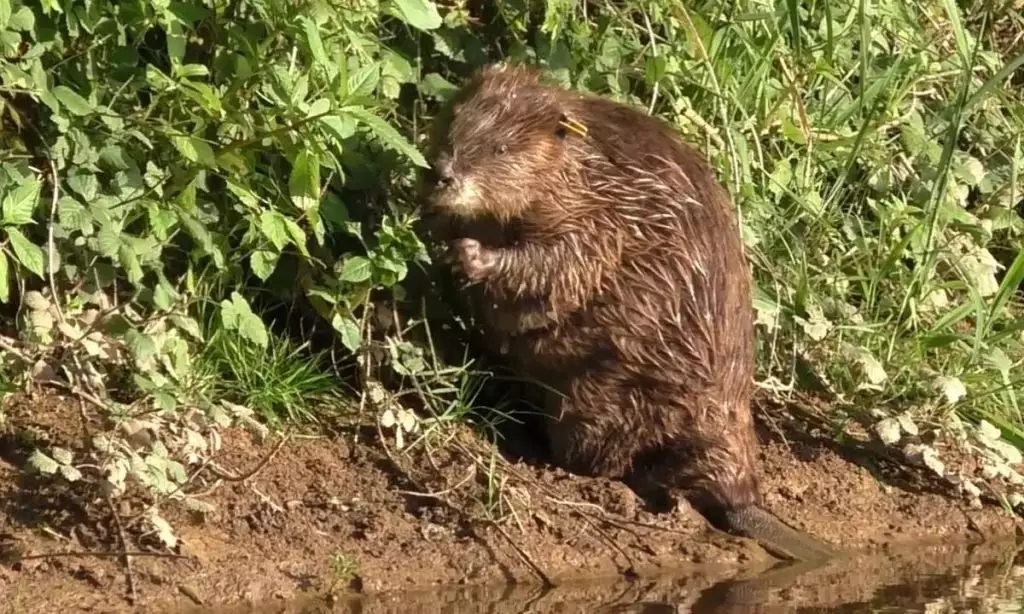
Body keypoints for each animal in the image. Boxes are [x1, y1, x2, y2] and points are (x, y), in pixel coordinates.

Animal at [419, 62, 835, 564]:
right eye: (453, 120)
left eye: (501, 147)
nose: (442, 174)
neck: (583, 168)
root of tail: (745, 501)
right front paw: (434, 222)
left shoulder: (602, 223)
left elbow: (561, 266)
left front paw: (472, 254)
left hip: (612, 392)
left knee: (606, 455)